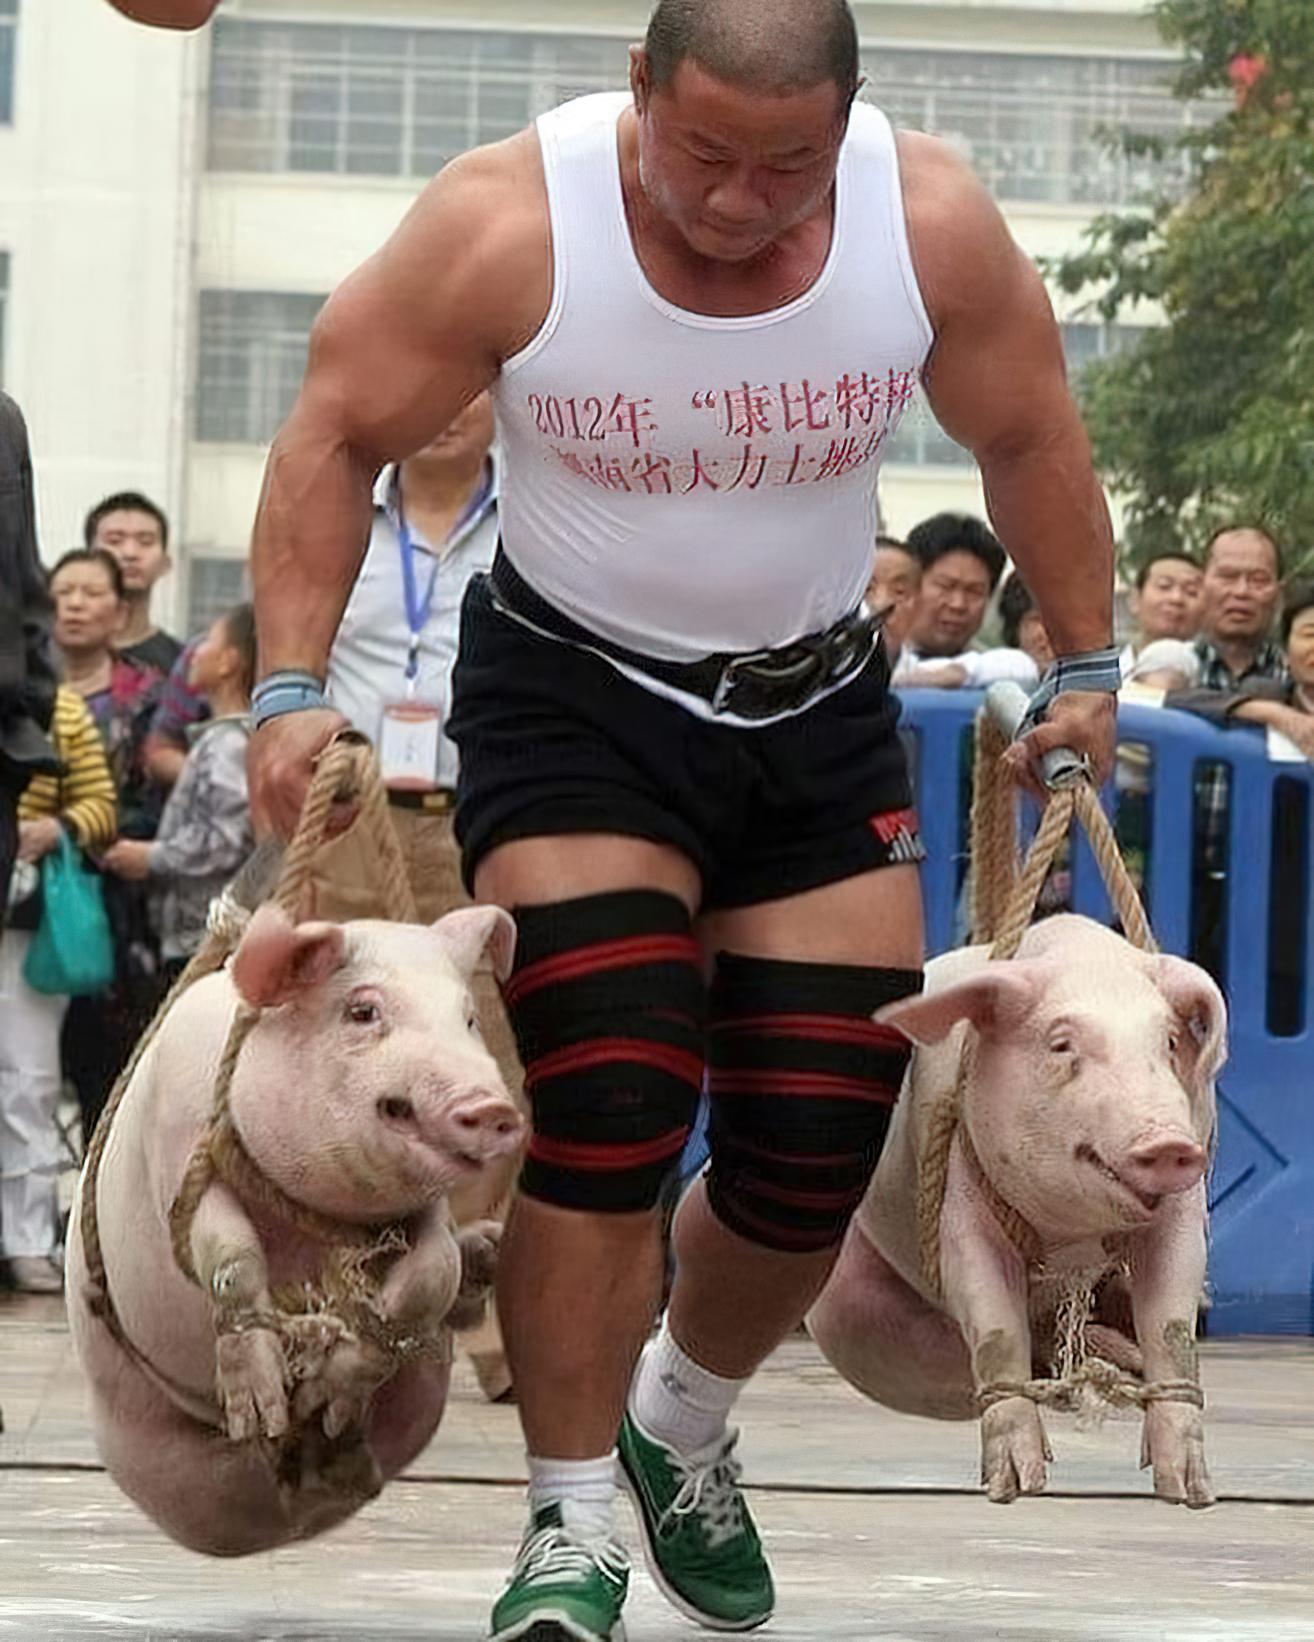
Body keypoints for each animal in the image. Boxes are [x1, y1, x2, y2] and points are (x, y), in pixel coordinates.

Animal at [65, 904, 525, 1556]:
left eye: (468, 1018)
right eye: (362, 1011)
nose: (492, 1108)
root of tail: (295, 1521)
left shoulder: (424, 1208)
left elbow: (432, 1272)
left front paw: (325, 1397)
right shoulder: (179, 1158)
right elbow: (230, 1254)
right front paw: (263, 1406)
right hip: (156, 1462)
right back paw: (281, 1442)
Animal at [809, 915, 1224, 1510]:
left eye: (1169, 1043)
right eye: (1061, 1043)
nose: (1167, 1142)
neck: (1071, 1240)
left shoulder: (1181, 1214)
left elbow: (1172, 1325)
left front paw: (1190, 1494)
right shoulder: (962, 1186)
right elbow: (995, 1327)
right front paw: (1014, 1488)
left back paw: (1122, 1356)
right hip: (845, 1315)